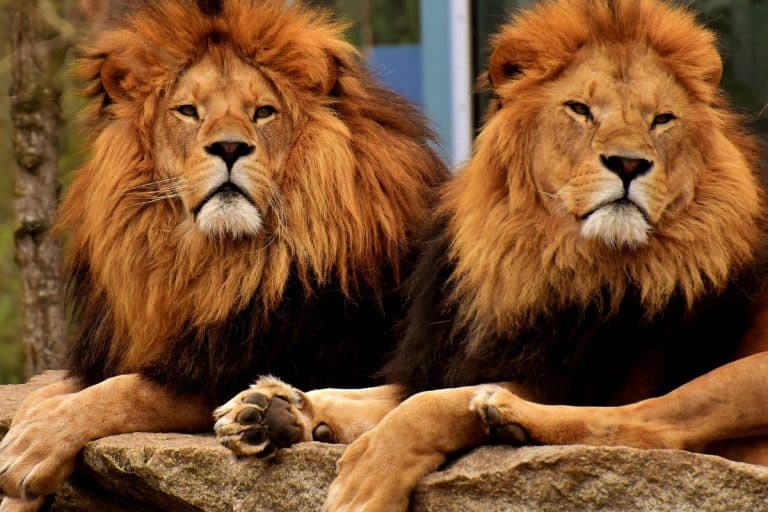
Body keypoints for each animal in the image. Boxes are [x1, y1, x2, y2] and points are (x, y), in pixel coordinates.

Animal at [0, 0, 446, 508]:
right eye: (188, 111)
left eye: (264, 112)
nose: (230, 146)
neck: (218, 264)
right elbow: (46, 394)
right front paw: (22, 458)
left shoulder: (244, 365)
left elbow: (126, 392)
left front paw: (34, 446)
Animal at [210, 0, 768, 510]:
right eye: (580, 109)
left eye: (662, 120)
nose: (630, 163)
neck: (538, 256)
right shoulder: (449, 358)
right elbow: (375, 394)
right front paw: (267, 408)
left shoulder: (592, 378)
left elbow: (426, 407)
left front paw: (367, 478)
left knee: (651, 429)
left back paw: (507, 416)